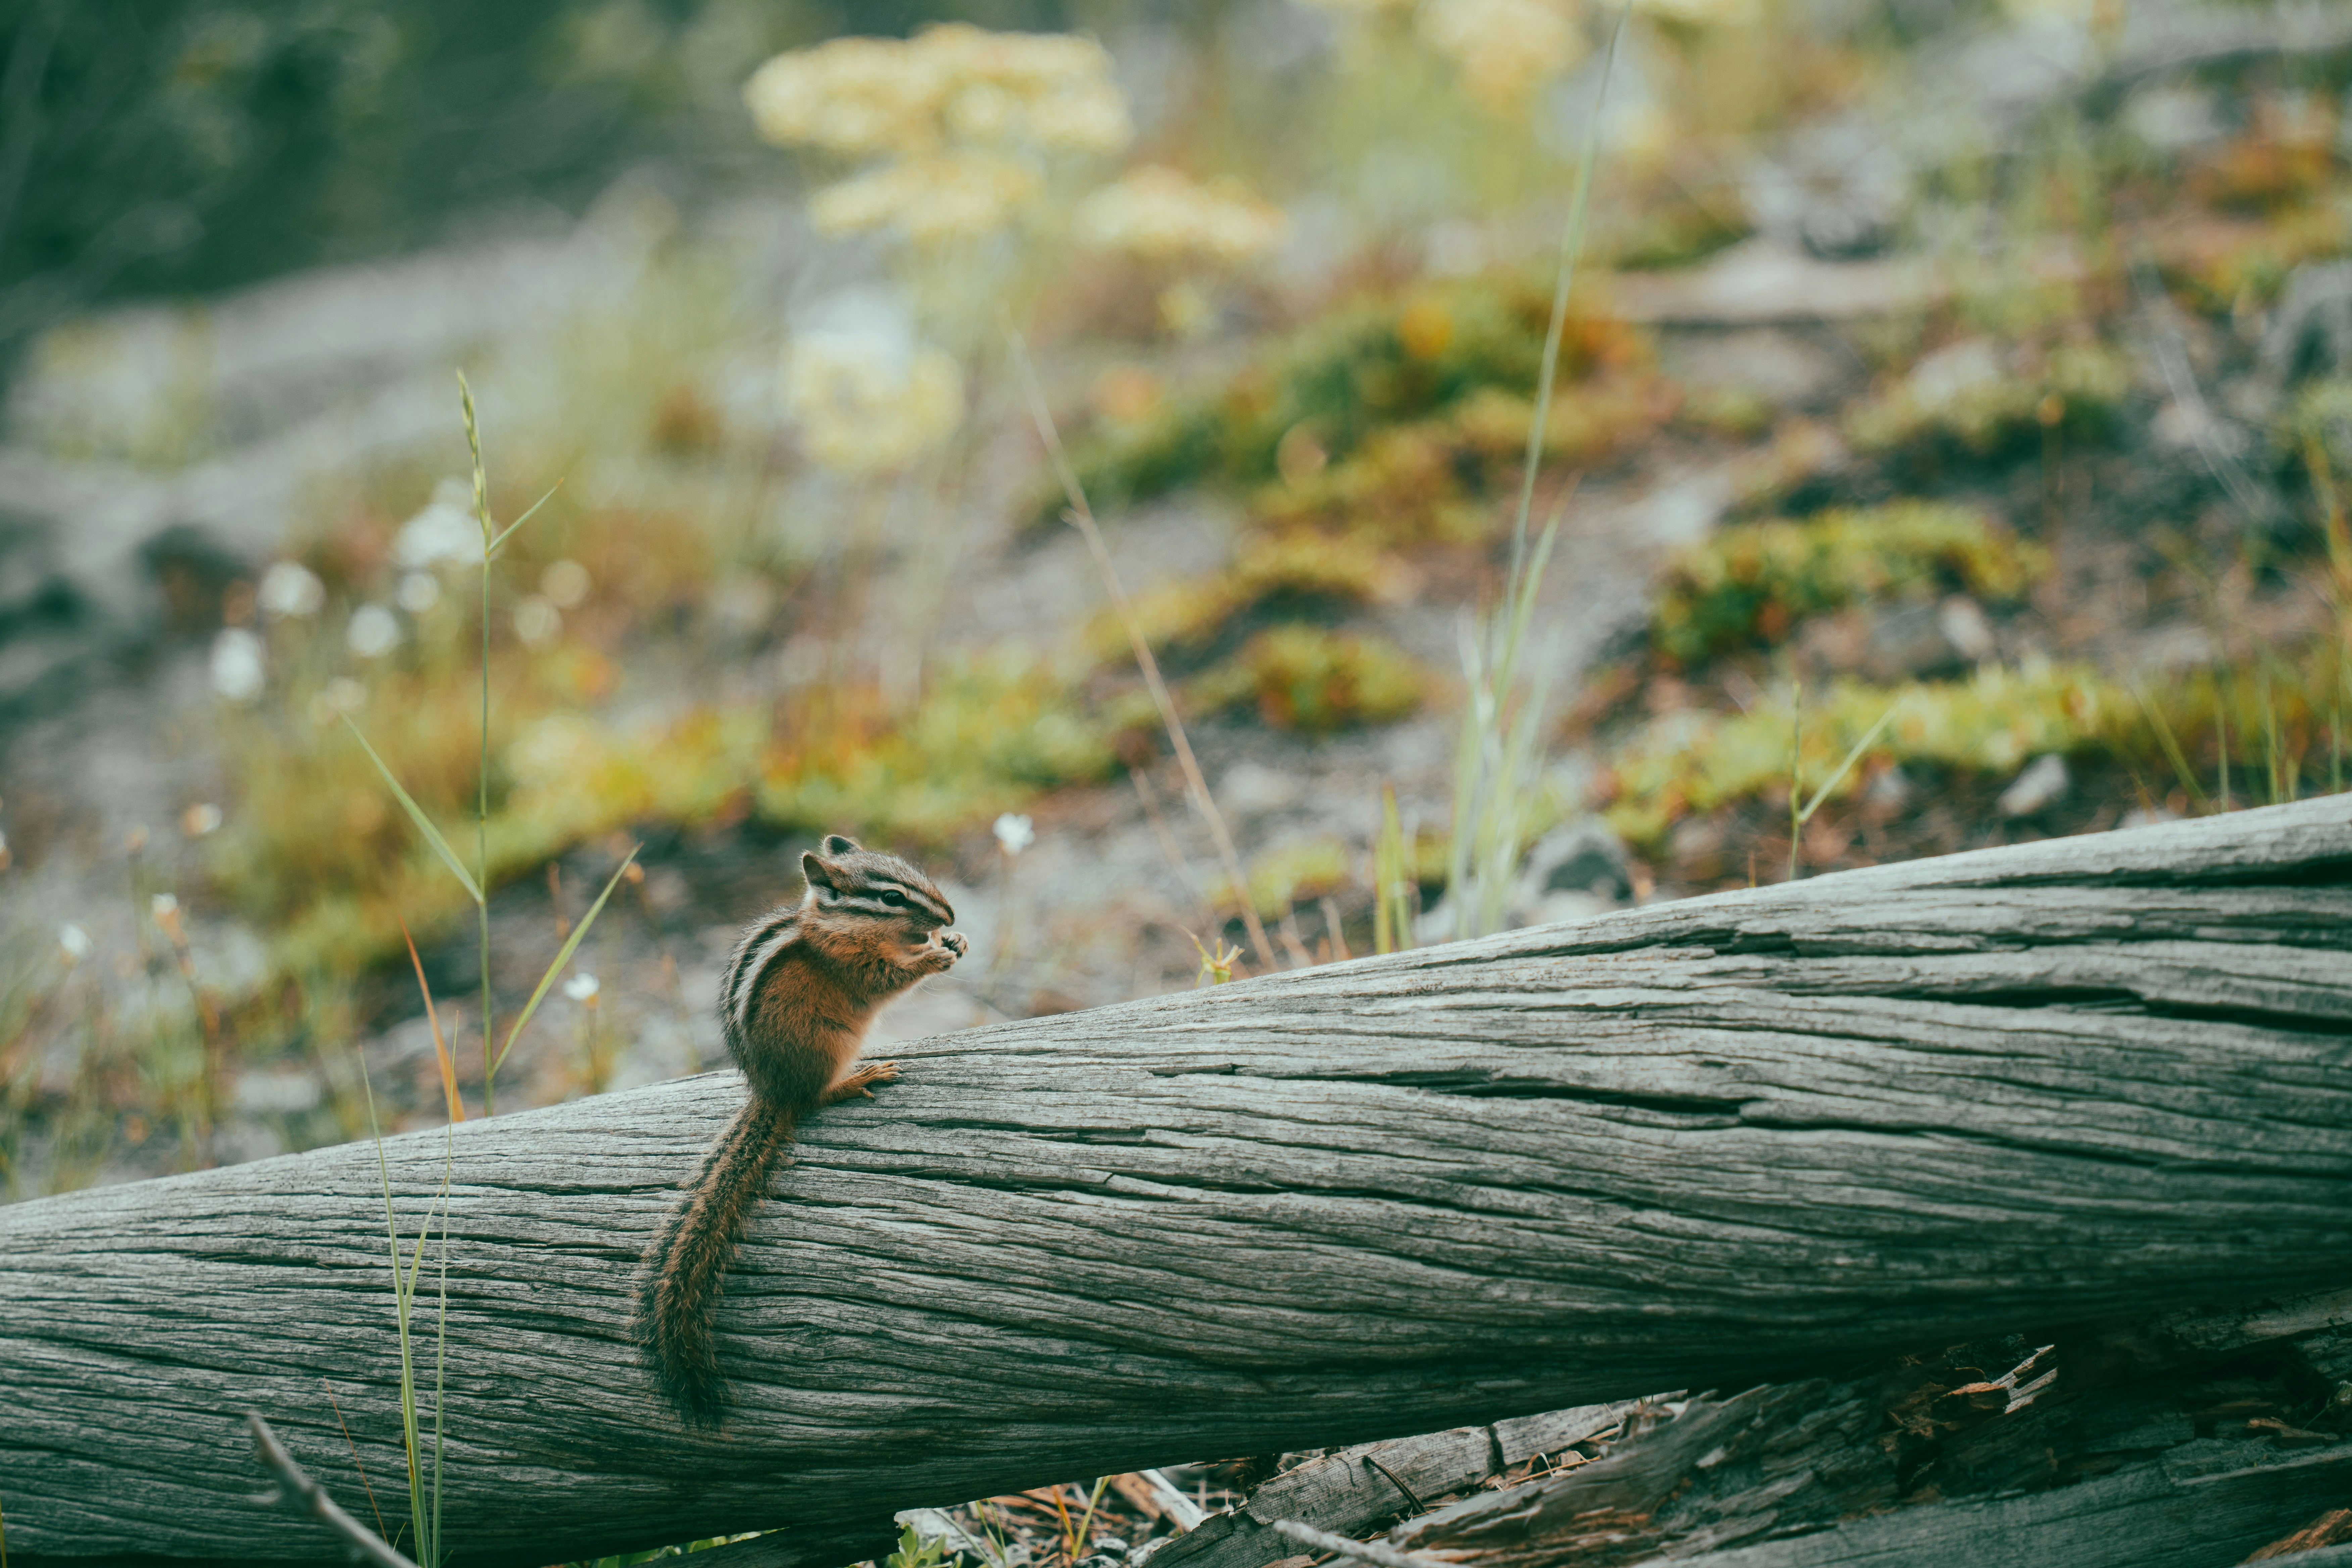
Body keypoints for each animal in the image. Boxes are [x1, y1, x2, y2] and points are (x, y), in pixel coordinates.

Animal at [634, 833, 967, 1427]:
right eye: (890, 898)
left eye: (913, 874)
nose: (949, 915)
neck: (837, 925)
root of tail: (774, 1092)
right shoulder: (855, 964)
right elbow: (888, 977)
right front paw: (934, 953)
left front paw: (954, 939)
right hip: (827, 1043)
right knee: (817, 1098)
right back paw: (860, 1078)